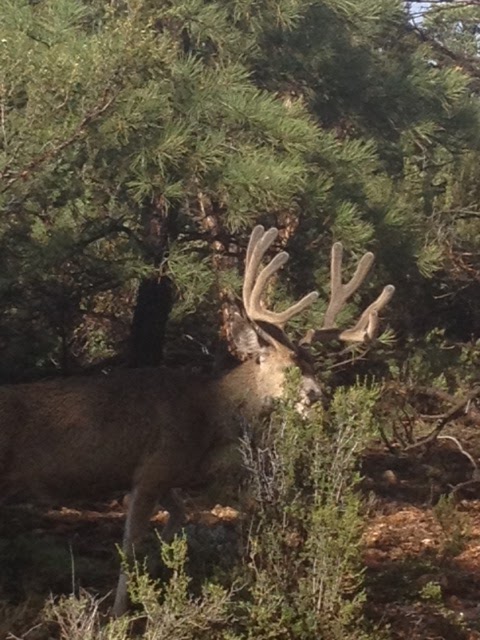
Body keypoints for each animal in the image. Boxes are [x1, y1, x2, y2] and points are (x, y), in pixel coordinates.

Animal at [0, 225, 394, 616]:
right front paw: (119, 613)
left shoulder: (169, 473)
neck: (209, 415)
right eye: (287, 368)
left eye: (312, 365)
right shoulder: (153, 467)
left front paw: (157, 577)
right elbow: (131, 544)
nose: (317, 395)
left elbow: (179, 516)